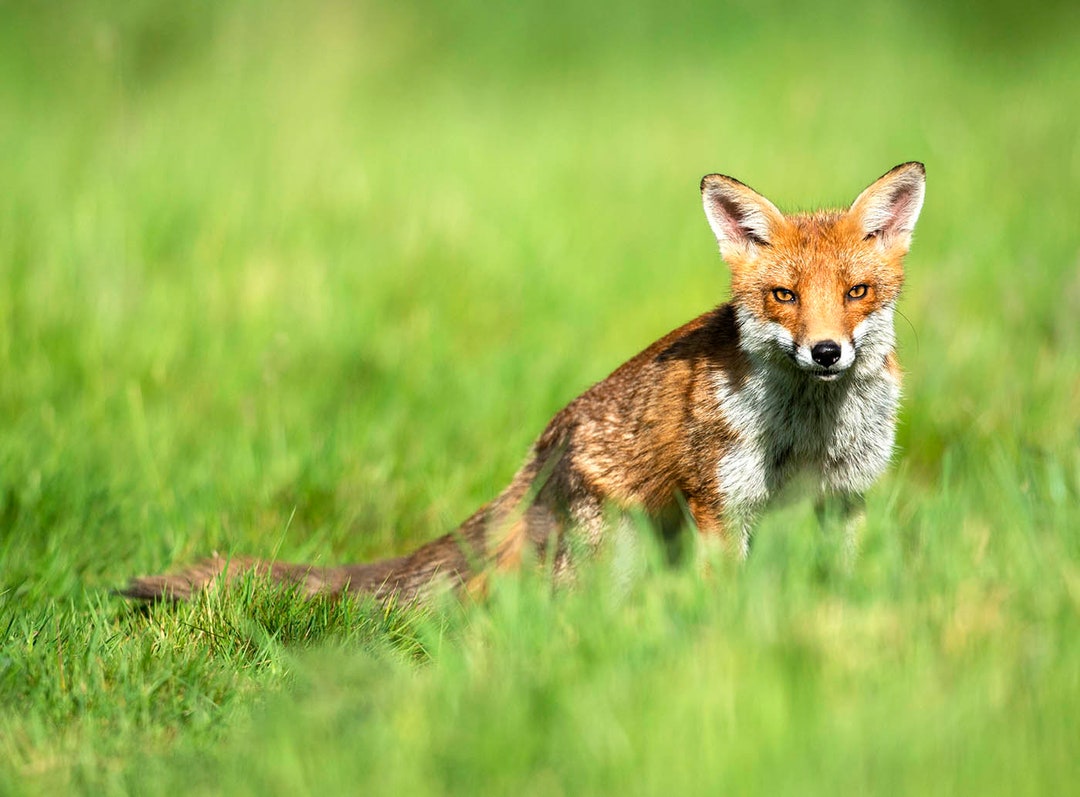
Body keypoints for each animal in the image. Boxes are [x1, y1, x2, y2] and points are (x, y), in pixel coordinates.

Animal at [122, 162, 926, 603]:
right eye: (783, 296)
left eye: (855, 292)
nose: (826, 351)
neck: (808, 433)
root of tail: (547, 435)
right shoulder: (722, 506)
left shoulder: (843, 500)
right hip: (612, 556)